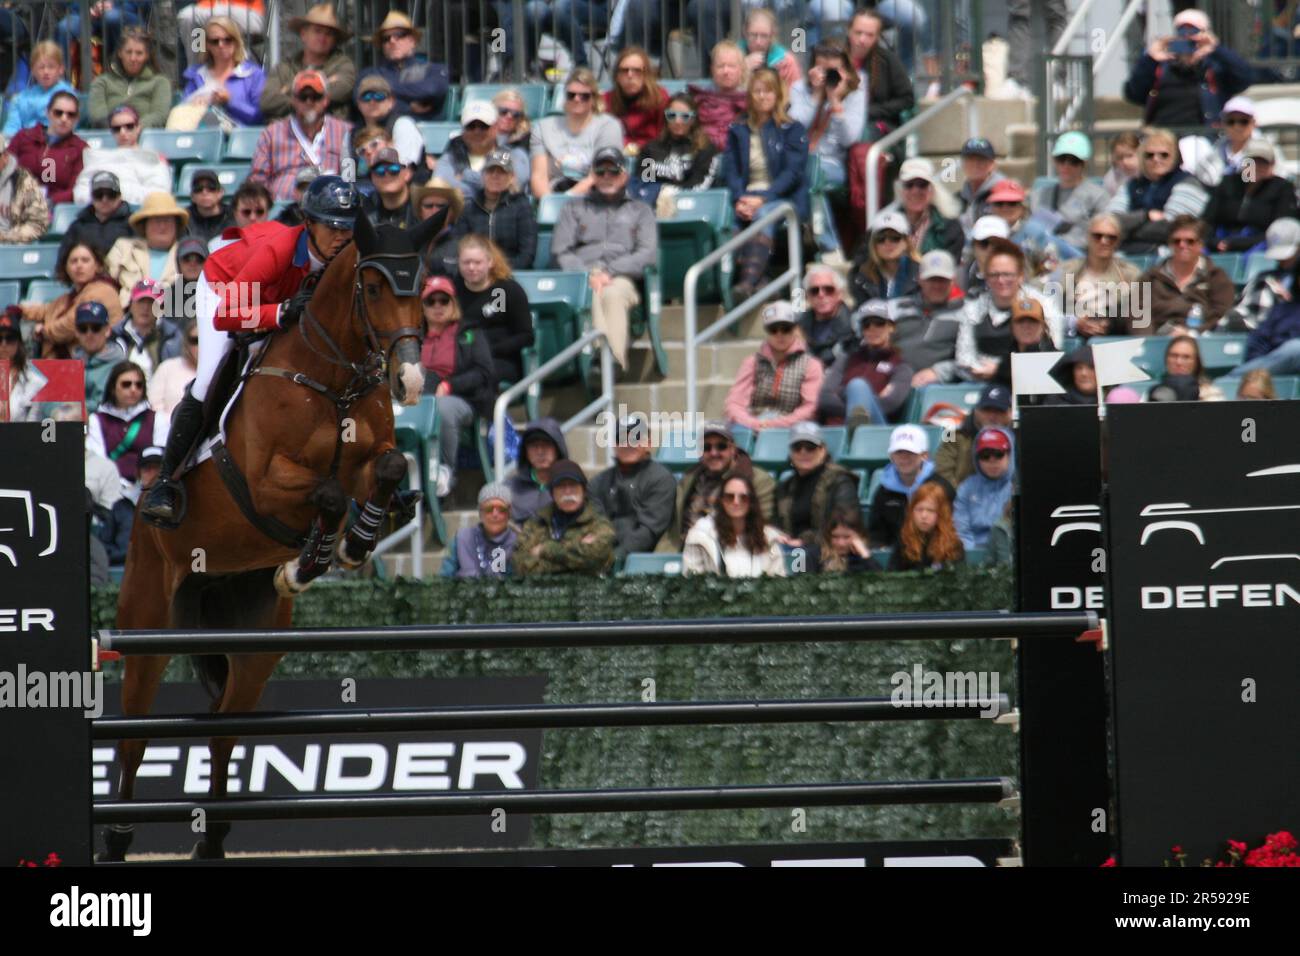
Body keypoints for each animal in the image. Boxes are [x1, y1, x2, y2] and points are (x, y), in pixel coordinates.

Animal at [100, 211, 443, 861]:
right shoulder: (261, 483)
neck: (331, 375)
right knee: (134, 736)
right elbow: (327, 494)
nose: (412, 379)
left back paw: (211, 841)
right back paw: (117, 839)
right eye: (374, 286)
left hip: (253, 646)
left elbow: (387, 469)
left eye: (425, 286)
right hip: (148, 627)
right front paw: (308, 562)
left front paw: (352, 543)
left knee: (225, 734)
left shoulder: (370, 460)